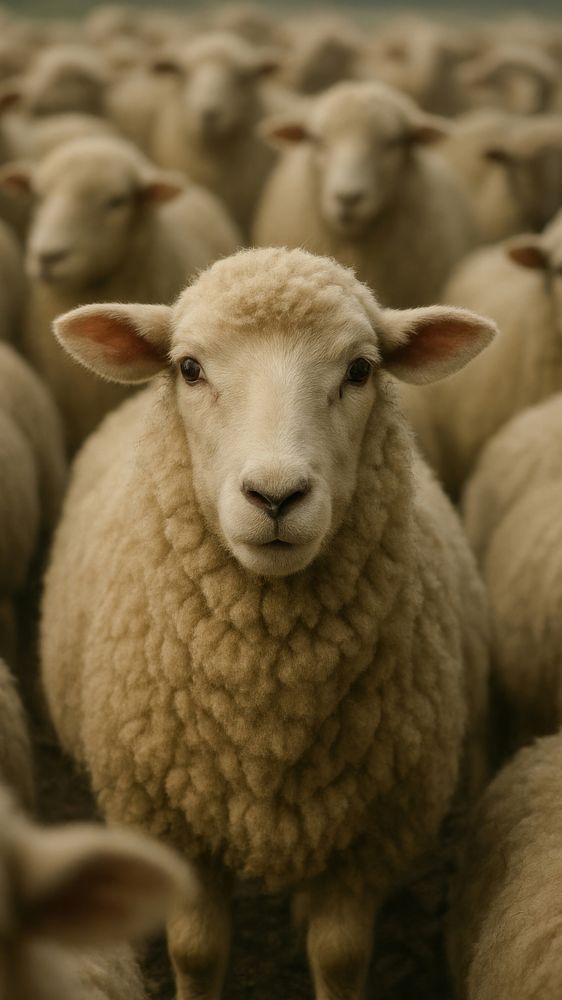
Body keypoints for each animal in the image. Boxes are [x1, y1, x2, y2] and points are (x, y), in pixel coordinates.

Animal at [41, 247, 495, 1000]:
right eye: (189, 368)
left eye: (360, 370)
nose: (276, 496)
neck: (268, 700)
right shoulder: (173, 825)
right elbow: (197, 952)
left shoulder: (369, 840)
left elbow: (338, 957)